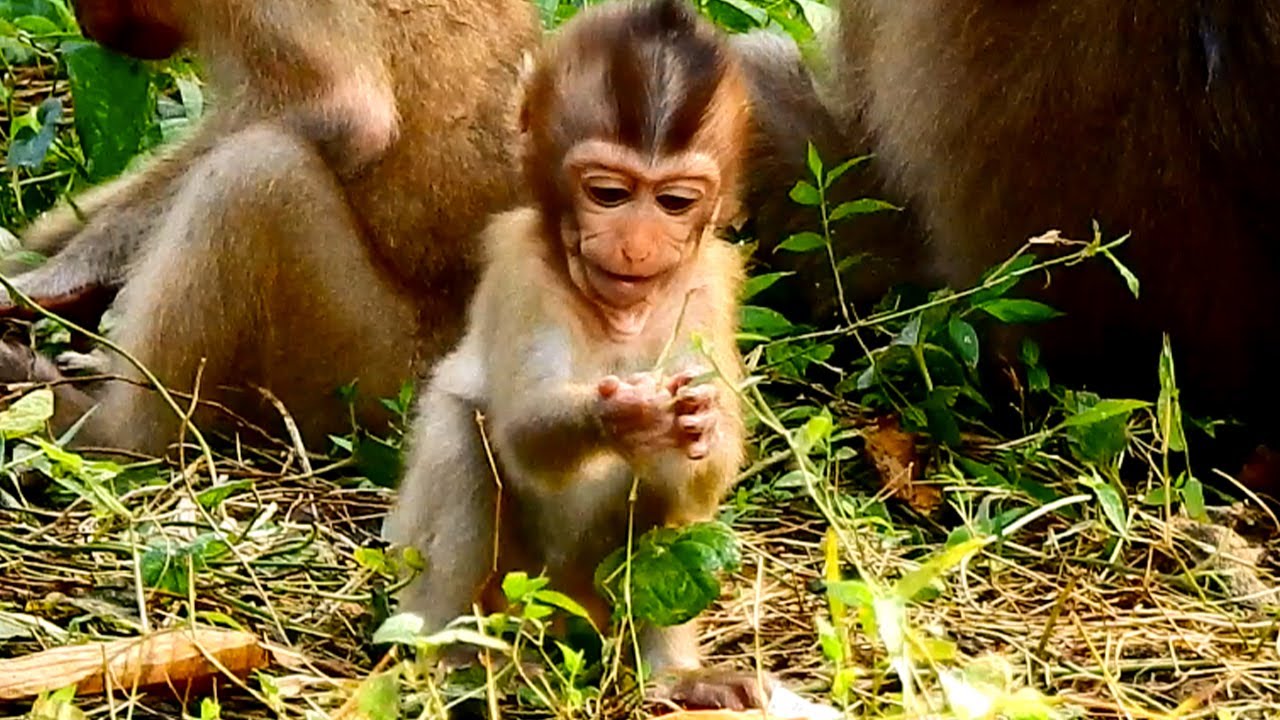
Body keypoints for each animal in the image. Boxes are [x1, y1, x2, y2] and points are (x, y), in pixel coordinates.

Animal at [0, 0, 542, 454]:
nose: (86, 21)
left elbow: (346, 115)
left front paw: (62, 274)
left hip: (369, 377)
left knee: (251, 172)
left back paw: (108, 433)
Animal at [383, 0, 771, 709]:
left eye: (674, 201)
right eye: (609, 194)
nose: (637, 245)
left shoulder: (709, 281)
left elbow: (703, 474)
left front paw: (695, 422)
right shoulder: (522, 264)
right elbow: (522, 434)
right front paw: (619, 415)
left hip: (589, 597)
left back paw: (674, 677)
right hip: (506, 588)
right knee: (463, 440)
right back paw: (457, 663)